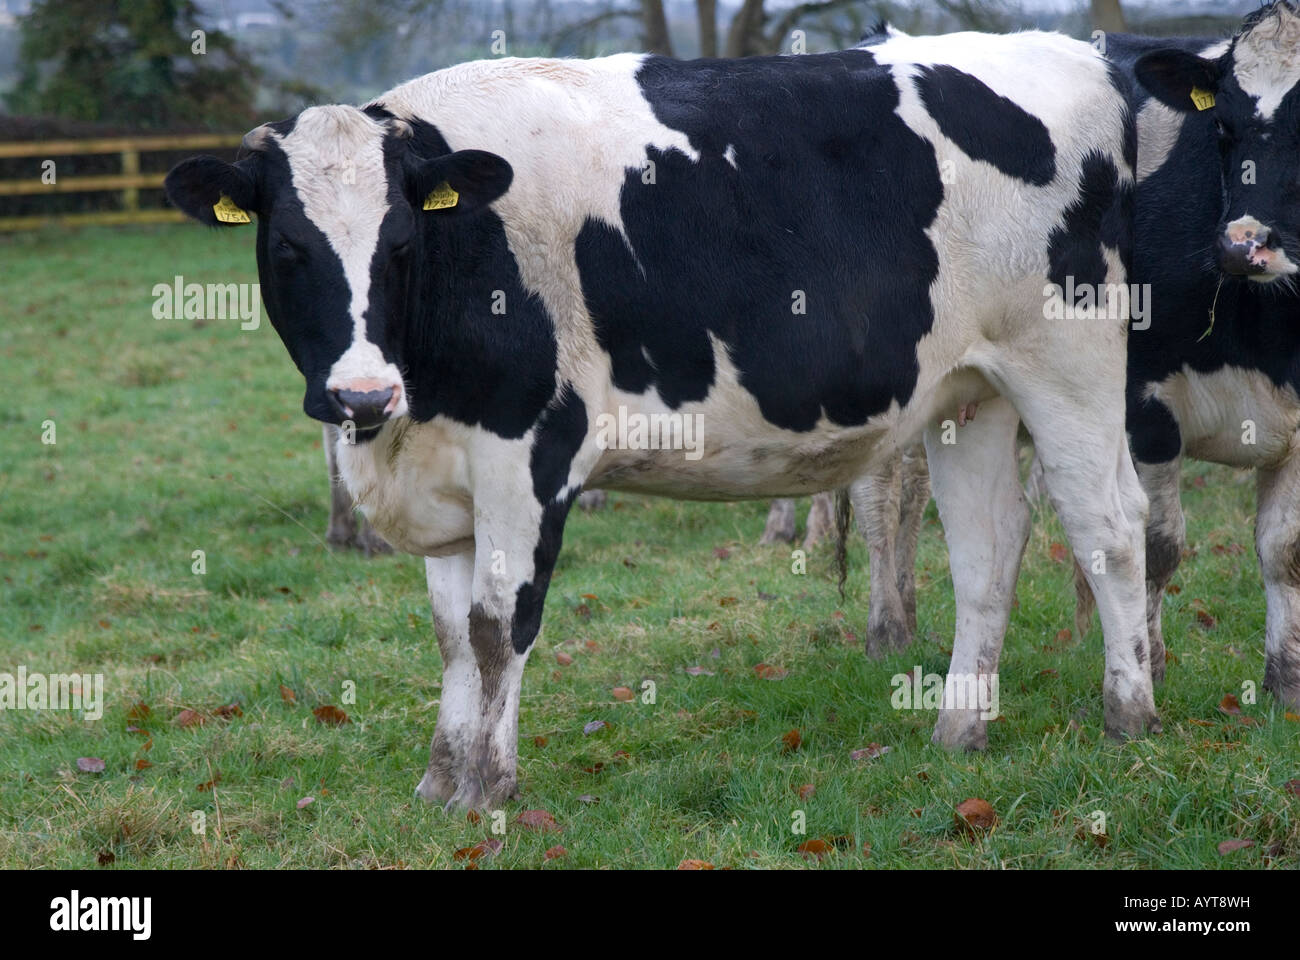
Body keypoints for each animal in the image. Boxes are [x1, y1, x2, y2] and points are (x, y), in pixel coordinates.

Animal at [165, 30, 1149, 808]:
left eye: (401, 243)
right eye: (288, 247)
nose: (362, 395)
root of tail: (1075, 52)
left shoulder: (526, 456)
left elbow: (497, 626)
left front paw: (488, 790)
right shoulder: (443, 475)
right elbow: (450, 635)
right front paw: (440, 781)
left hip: (1069, 368)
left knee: (1109, 527)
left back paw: (1129, 713)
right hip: (969, 394)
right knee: (987, 550)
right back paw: (958, 730)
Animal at [856, 4, 1300, 714]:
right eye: (1222, 126)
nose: (1245, 246)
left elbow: (1282, 550)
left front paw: (1283, 686)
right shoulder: (1142, 403)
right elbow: (1158, 544)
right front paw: (1151, 670)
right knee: (882, 499)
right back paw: (887, 630)